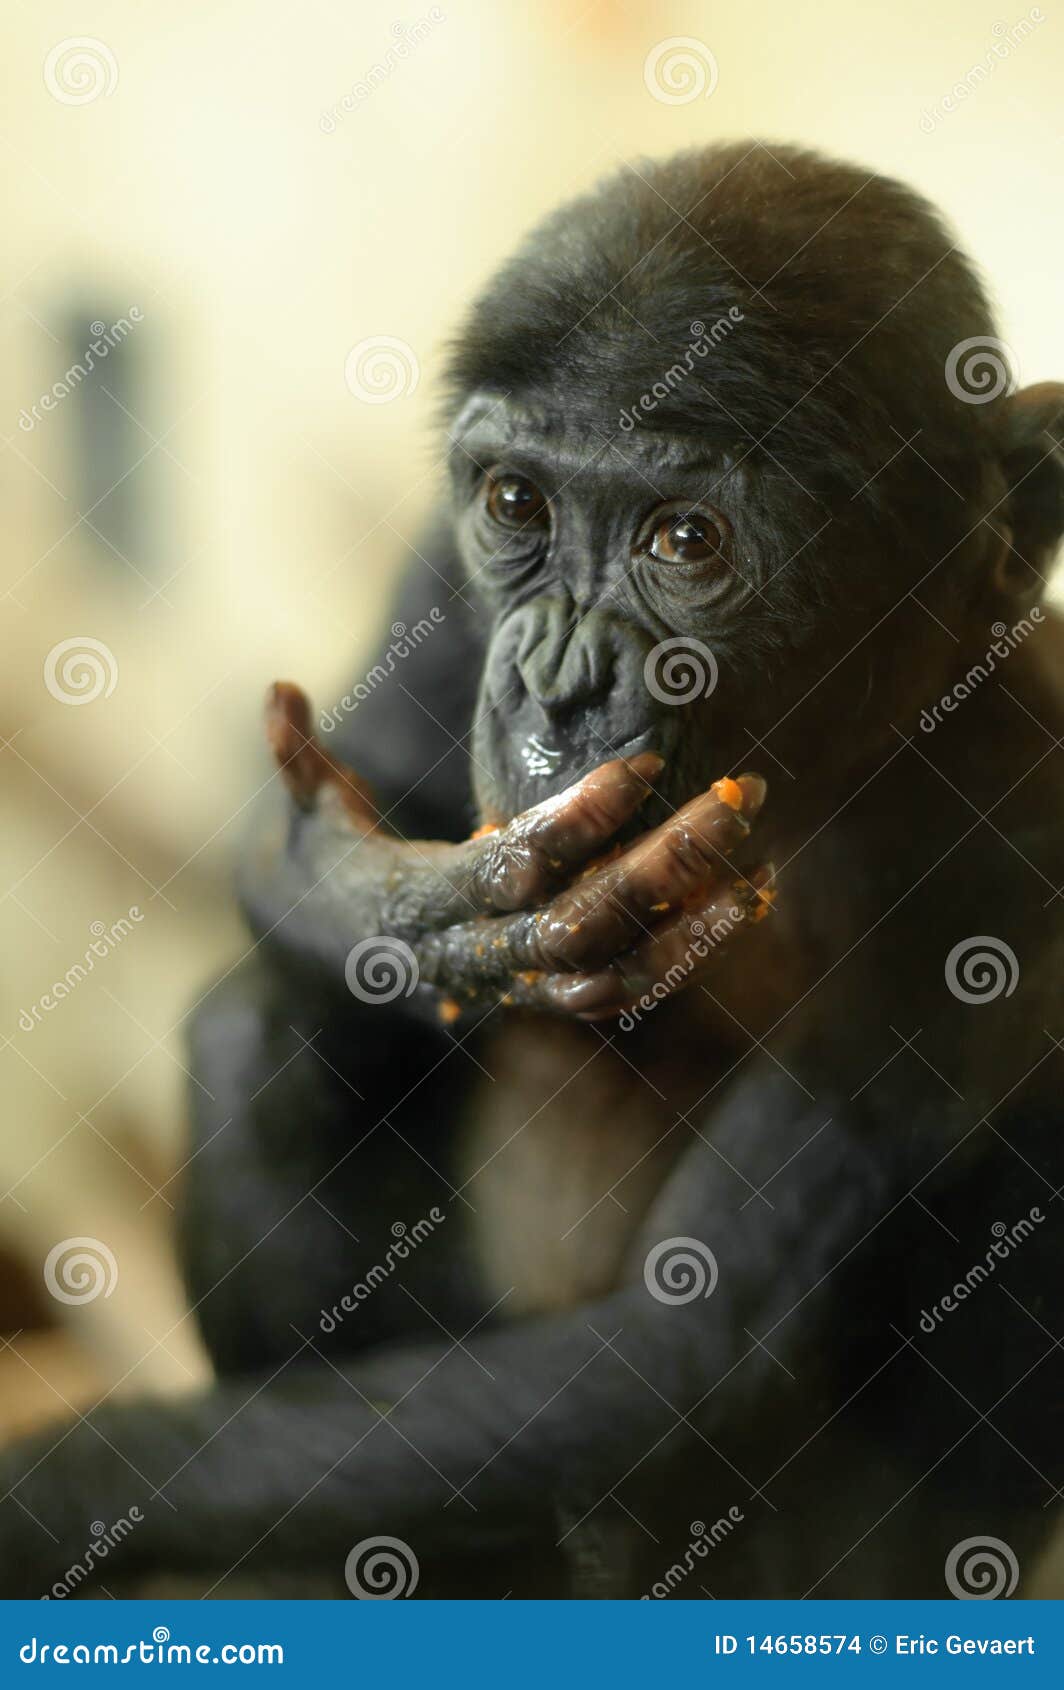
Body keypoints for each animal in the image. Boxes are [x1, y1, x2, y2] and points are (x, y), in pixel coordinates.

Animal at [2, 140, 1063, 1599]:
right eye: (517, 504)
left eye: (686, 540)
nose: (557, 680)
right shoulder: (442, 585)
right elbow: (307, 830)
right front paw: (408, 914)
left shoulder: (1017, 824)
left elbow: (680, 1346)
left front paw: (46, 1494)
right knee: (259, 1028)